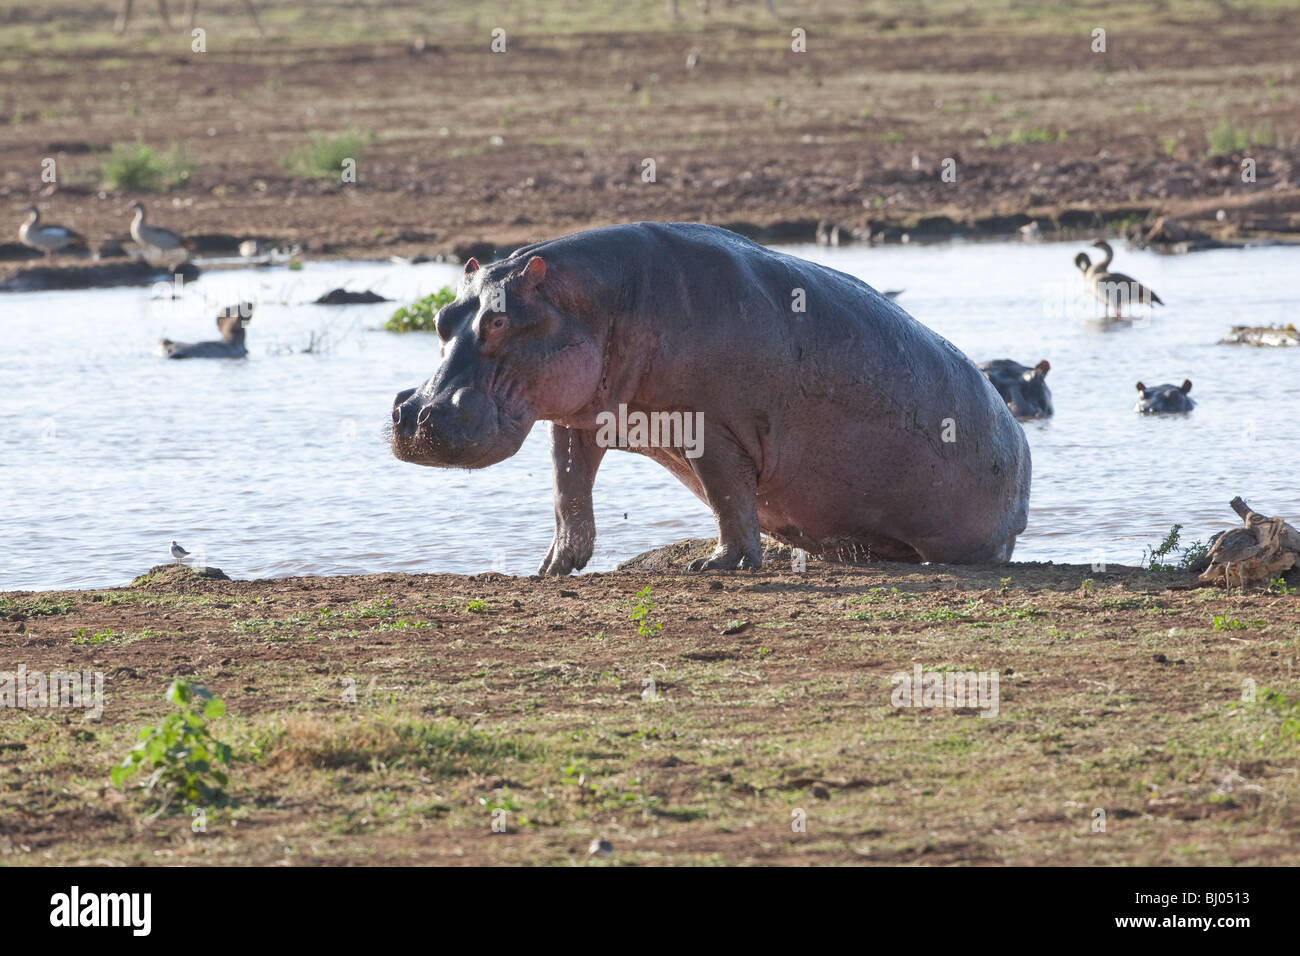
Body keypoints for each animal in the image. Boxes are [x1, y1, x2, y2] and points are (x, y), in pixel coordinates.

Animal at [389, 222, 1031, 571]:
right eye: (442, 318)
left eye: (499, 321)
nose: (417, 415)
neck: (591, 301)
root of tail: (1020, 441)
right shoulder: (577, 420)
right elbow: (567, 493)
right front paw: (550, 568)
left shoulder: (713, 427)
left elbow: (728, 495)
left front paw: (717, 564)